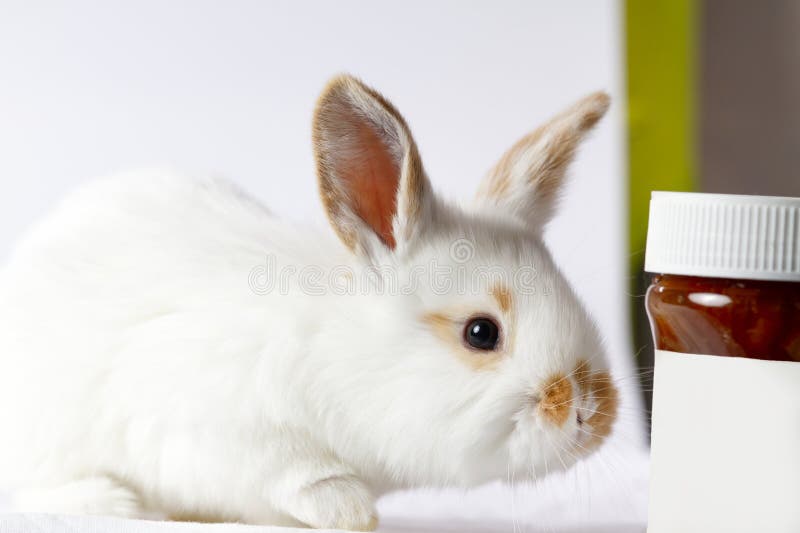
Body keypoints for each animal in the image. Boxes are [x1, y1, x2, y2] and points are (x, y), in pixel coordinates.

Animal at [0, 74, 618, 530]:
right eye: (481, 332)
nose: (596, 415)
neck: (335, 349)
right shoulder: (213, 431)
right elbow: (295, 475)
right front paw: (350, 509)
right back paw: (115, 502)